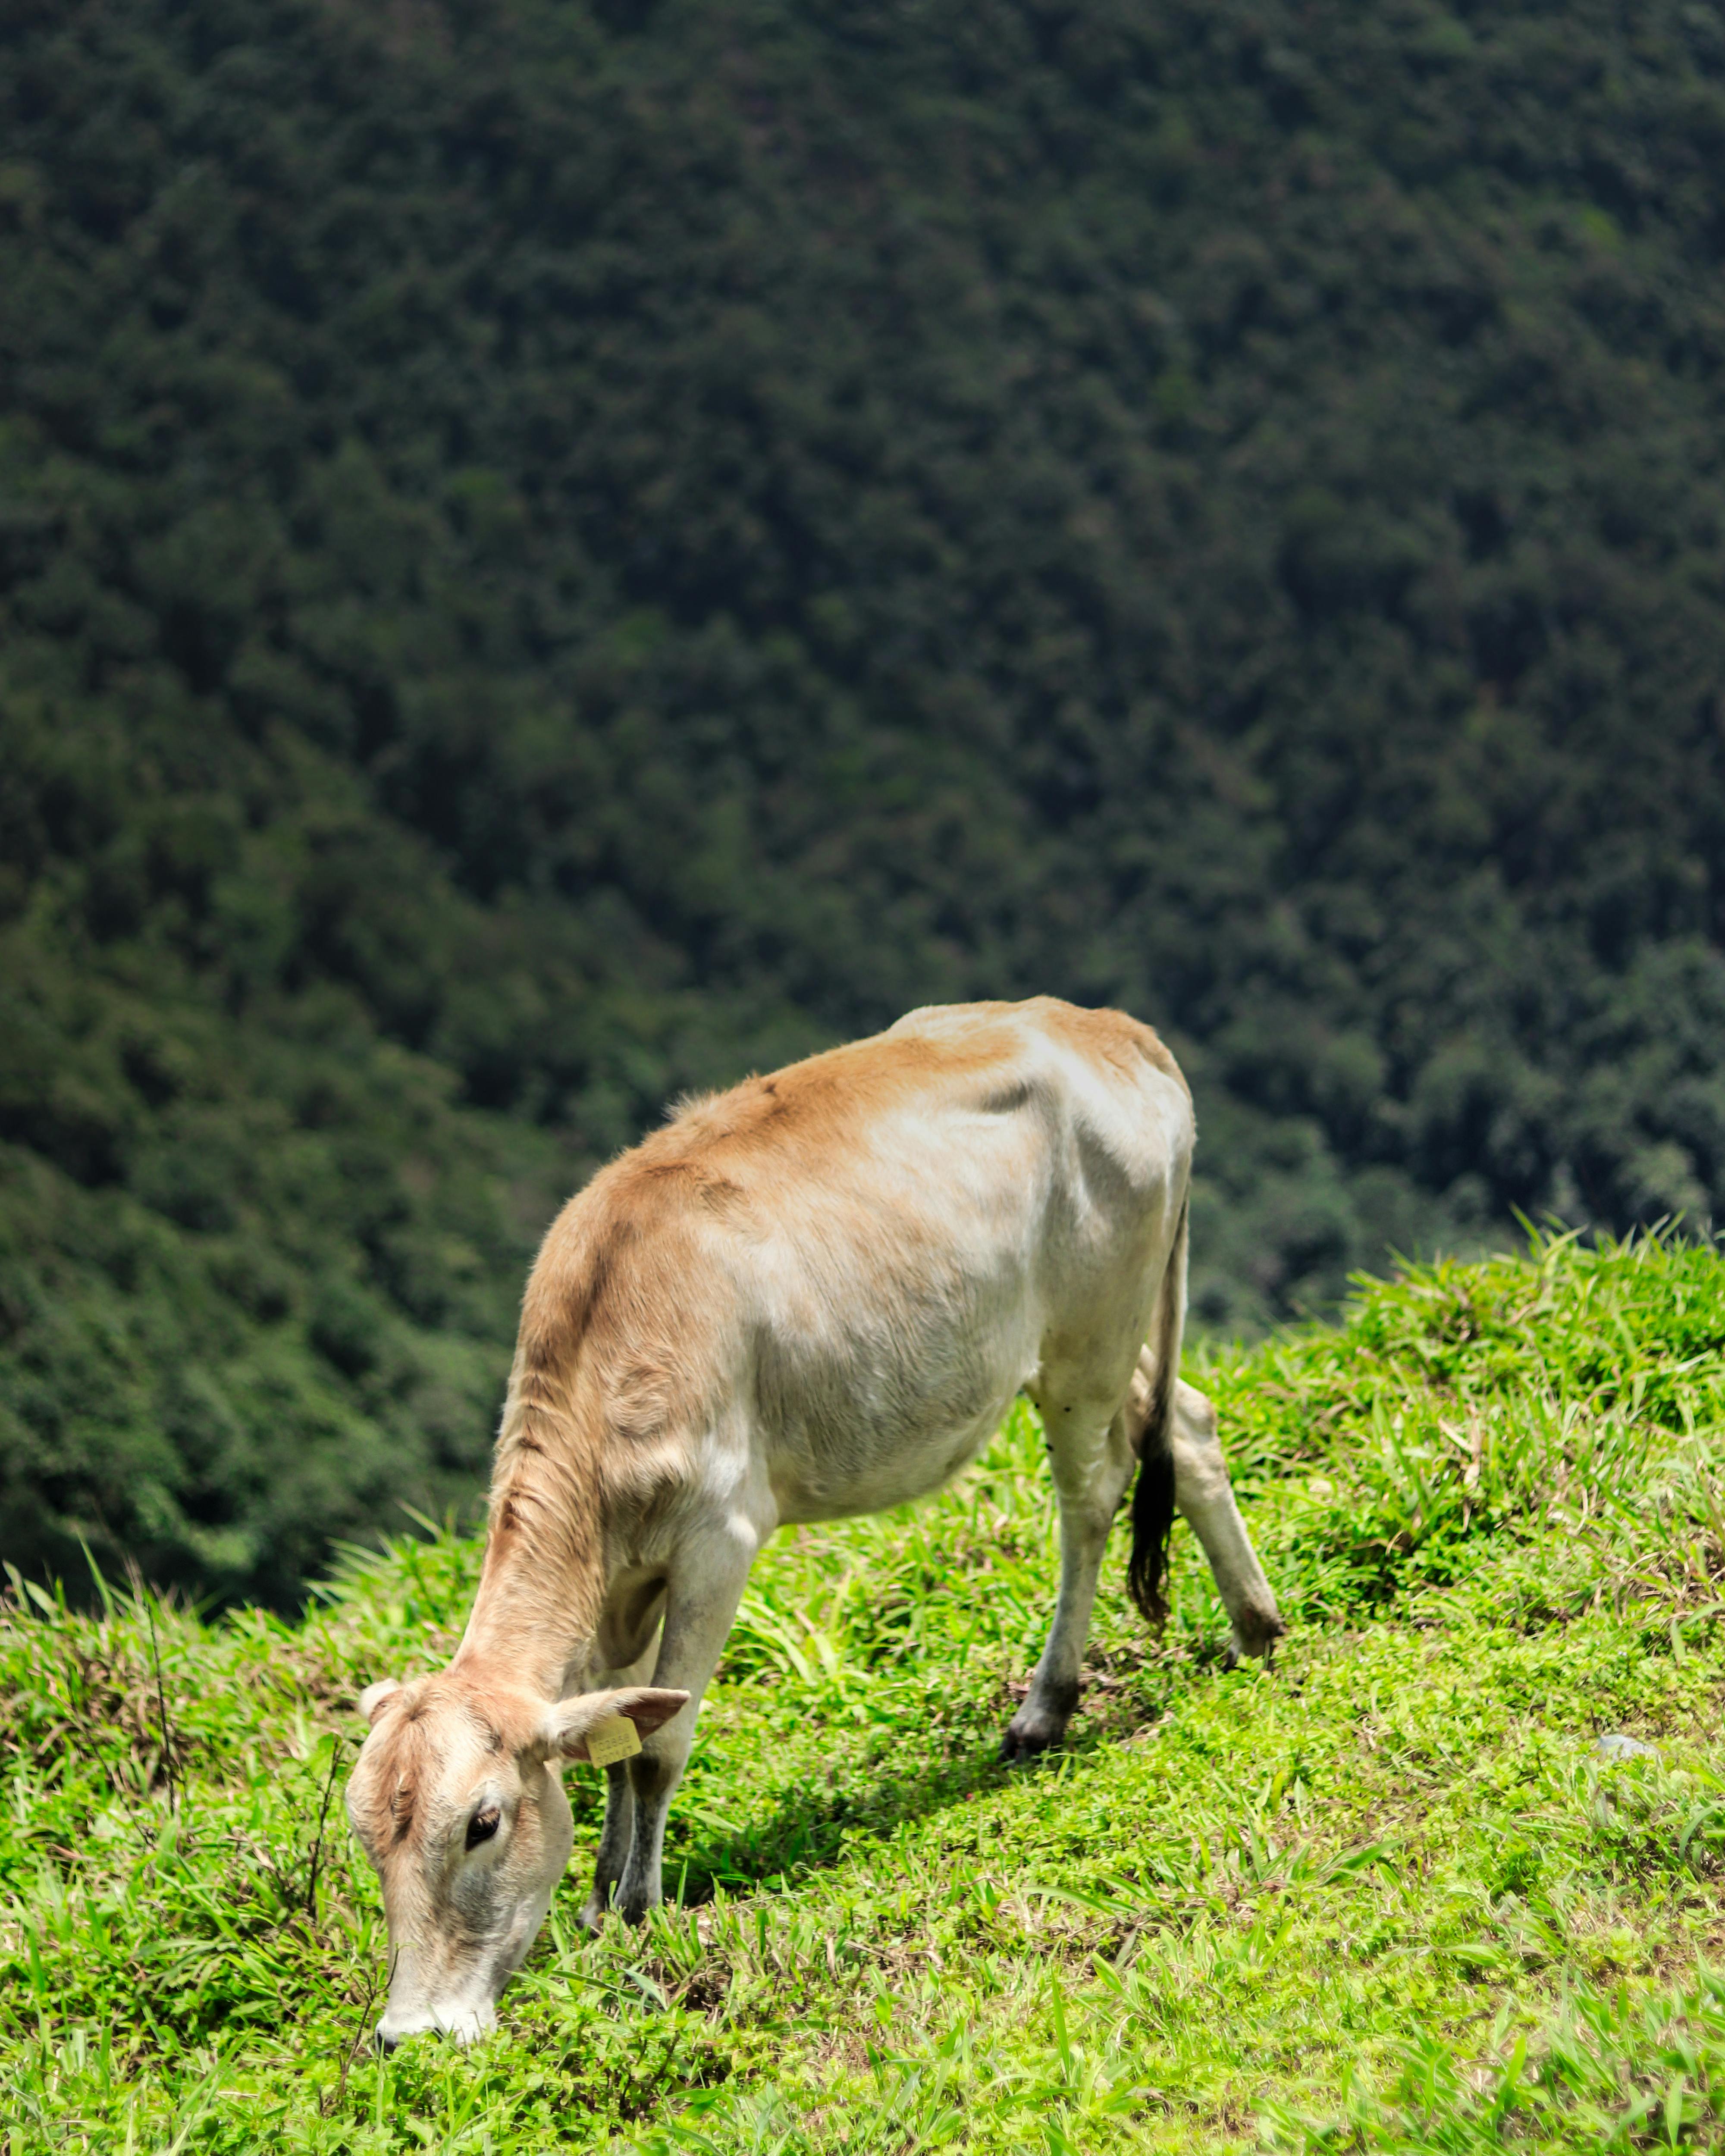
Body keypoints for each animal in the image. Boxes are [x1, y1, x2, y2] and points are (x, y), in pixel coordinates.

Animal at [345, 998, 1283, 2045]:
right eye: (368, 1840)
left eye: (484, 1823)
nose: (409, 2034)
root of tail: (1104, 1024)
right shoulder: (621, 1585)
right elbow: (618, 1740)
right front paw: (594, 1902)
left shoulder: (719, 1537)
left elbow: (659, 1748)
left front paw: (637, 1913)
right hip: (1099, 1342)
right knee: (1187, 1426)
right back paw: (1256, 1625)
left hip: (1090, 1334)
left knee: (1092, 1495)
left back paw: (1048, 1705)